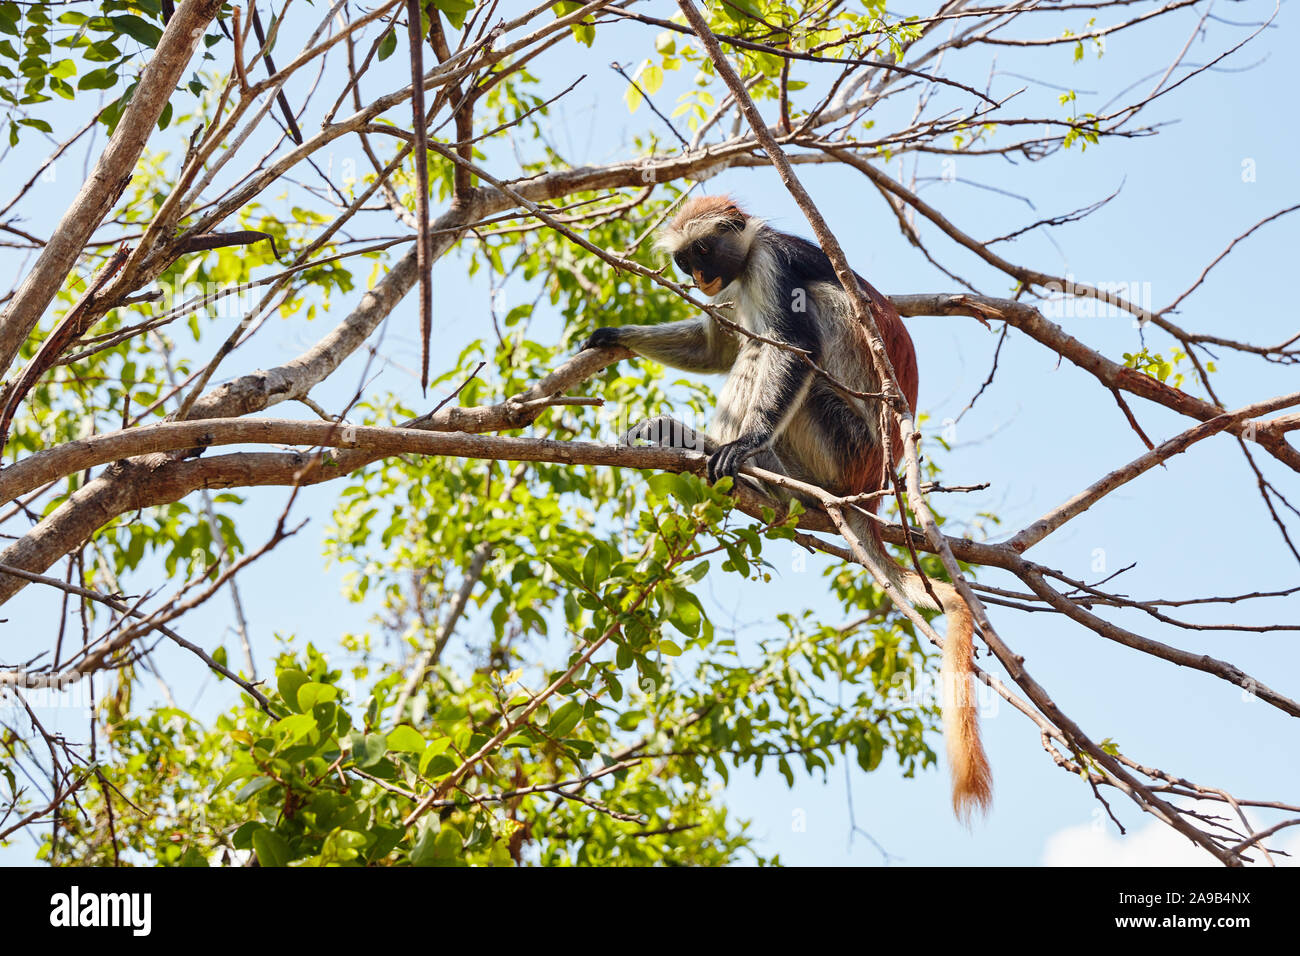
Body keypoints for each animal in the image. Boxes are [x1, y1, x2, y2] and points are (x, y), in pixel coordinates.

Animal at [578, 195, 992, 820]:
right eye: (684, 261)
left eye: (702, 251)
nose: (699, 279)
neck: (746, 257)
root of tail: (874, 487)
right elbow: (715, 346)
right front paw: (613, 333)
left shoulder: (773, 264)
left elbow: (790, 349)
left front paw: (742, 443)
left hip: (842, 443)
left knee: (768, 348)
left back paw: (741, 463)